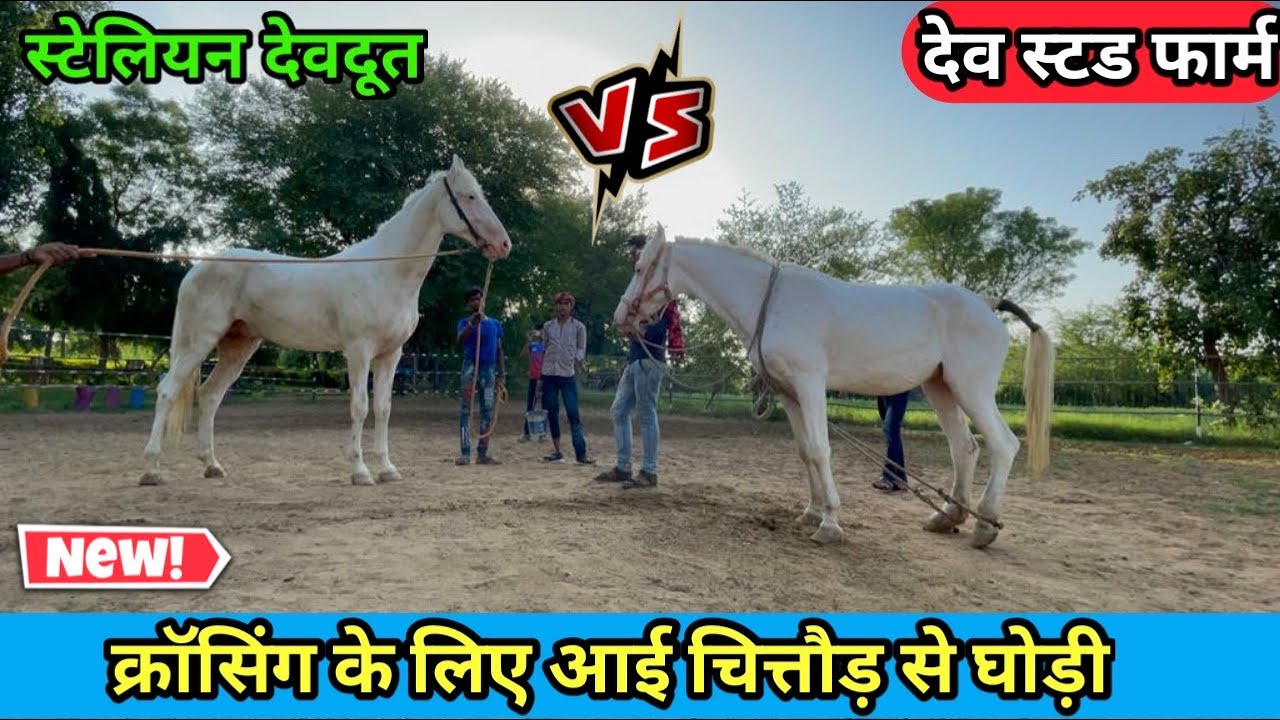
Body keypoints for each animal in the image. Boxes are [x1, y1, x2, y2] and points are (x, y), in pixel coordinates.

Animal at [140, 155, 512, 487]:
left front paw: (388, 470)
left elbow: (384, 408)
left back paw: (212, 466)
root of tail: (198, 268)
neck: (386, 270)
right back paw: (151, 470)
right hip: (197, 342)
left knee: (210, 396)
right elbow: (360, 407)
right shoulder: (359, 352)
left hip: (238, 347)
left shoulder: (391, 355)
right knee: (167, 391)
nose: (503, 244)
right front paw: (360, 472)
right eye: (470, 196)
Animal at [612, 226, 1055, 550]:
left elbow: (821, 450)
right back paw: (947, 517)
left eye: (639, 268)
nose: (620, 318)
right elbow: (805, 451)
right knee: (964, 448)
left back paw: (985, 525)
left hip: (971, 389)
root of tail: (986, 302)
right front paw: (812, 510)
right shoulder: (789, 393)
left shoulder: (810, 384)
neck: (772, 303)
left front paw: (829, 523)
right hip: (940, 388)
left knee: (1003, 446)